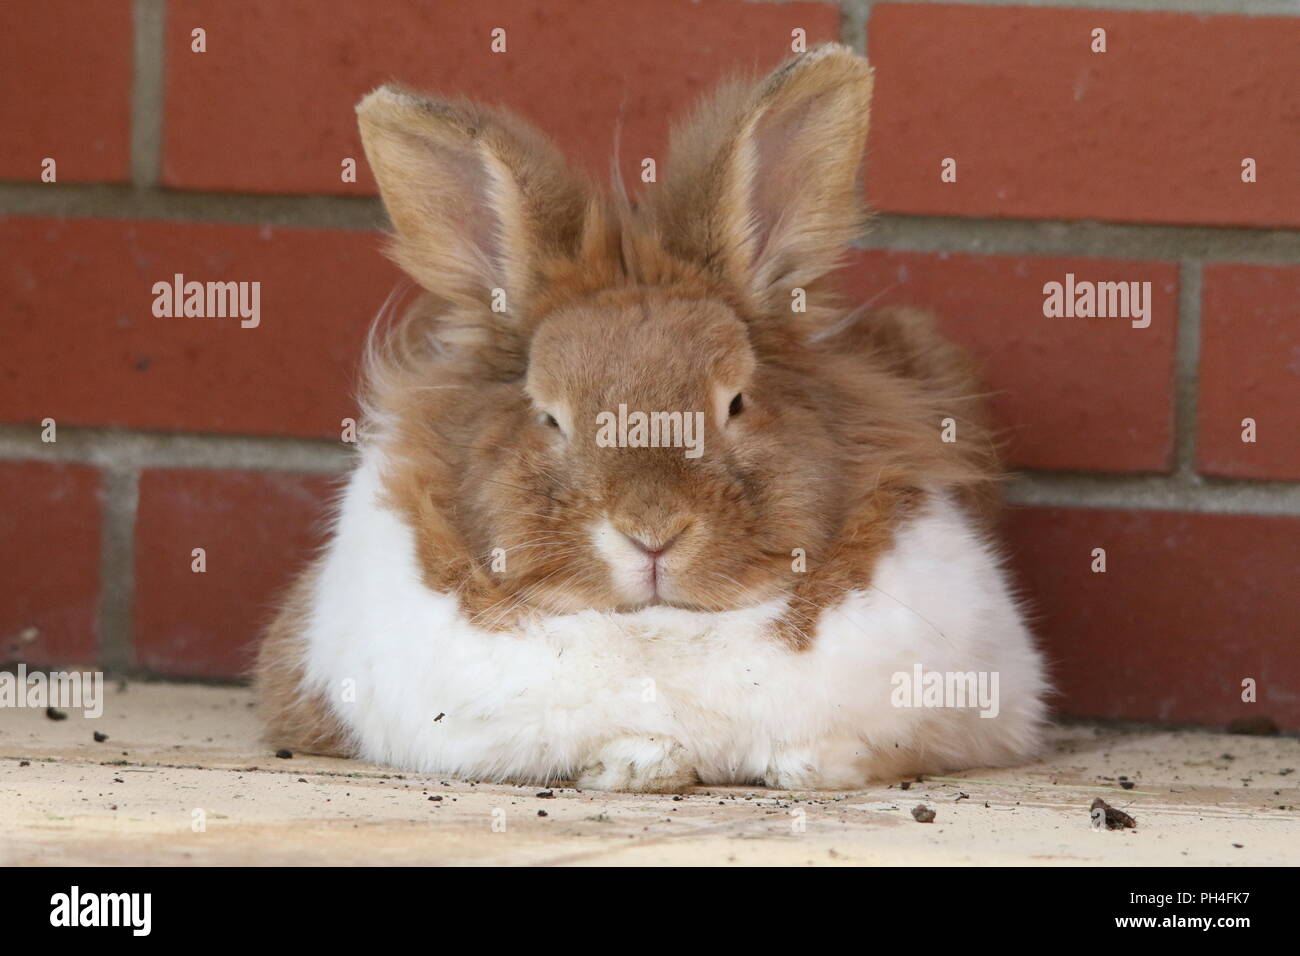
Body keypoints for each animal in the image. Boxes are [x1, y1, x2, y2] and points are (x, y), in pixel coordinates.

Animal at [255, 43, 1048, 792]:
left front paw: (808, 766)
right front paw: (643, 764)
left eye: (736, 401)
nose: (653, 533)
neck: (661, 628)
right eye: (549, 416)